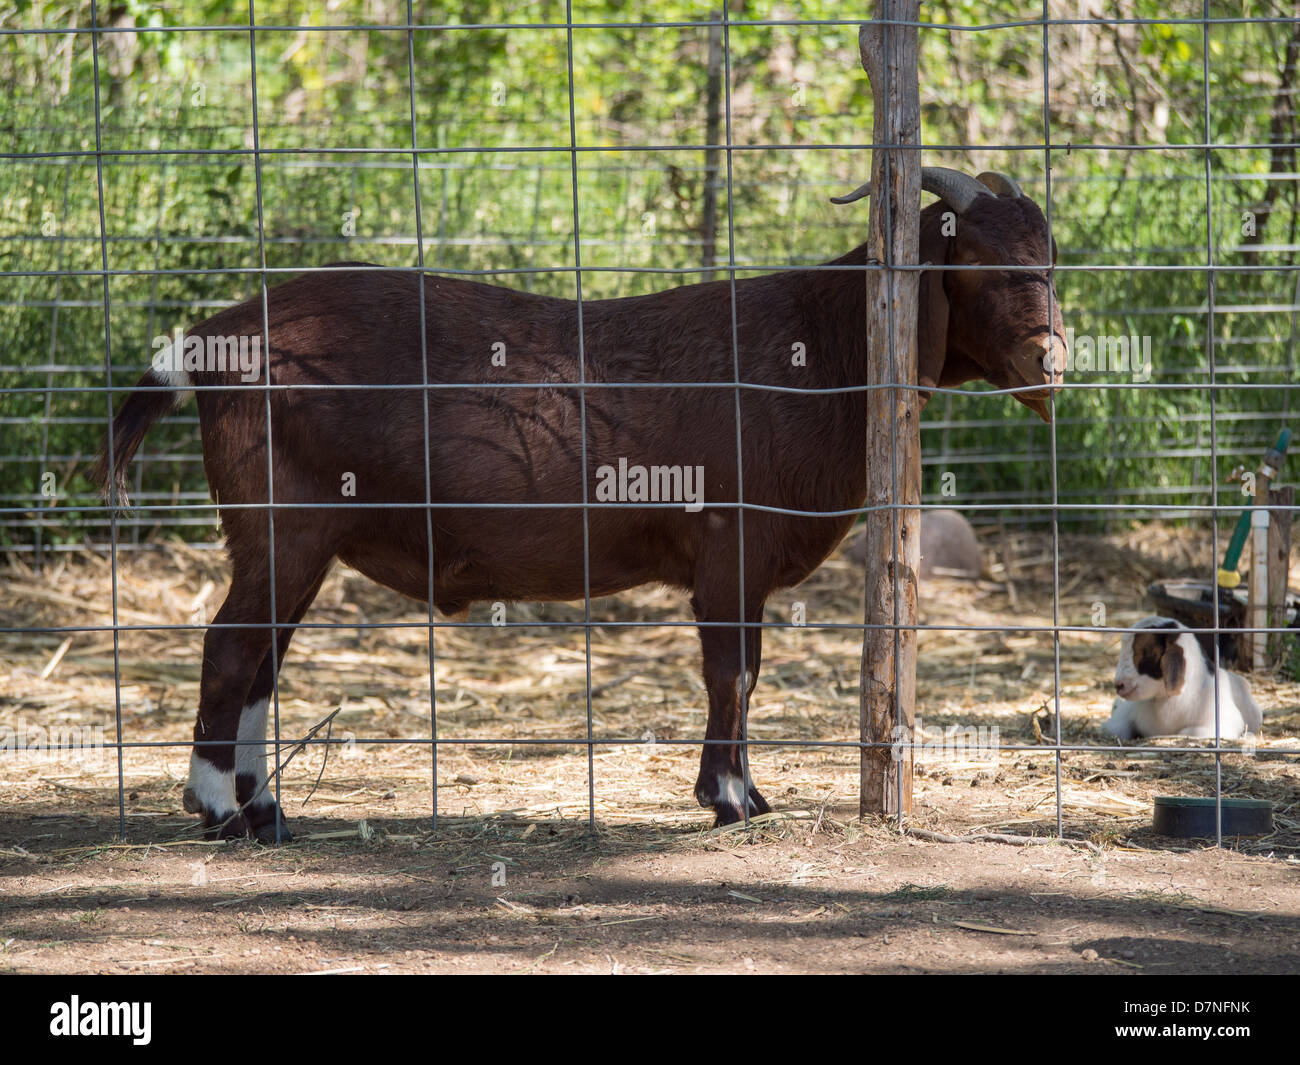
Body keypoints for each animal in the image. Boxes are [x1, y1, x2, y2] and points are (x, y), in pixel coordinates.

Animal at [93, 167, 1066, 840]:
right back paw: (219, 808)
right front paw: (730, 798)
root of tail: (212, 339)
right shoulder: (729, 547)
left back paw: (268, 812)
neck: (822, 347)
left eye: (1049, 261)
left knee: (263, 660)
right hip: (282, 525)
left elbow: (745, 669)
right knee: (231, 648)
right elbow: (733, 672)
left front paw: (747, 793)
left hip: (298, 541)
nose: (1051, 362)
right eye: (978, 263)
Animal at [1105, 617, 1262, 740]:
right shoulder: (1122, 717)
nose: (1119, 685)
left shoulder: (1222, 724)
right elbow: (1114, 729)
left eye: (1146, 653)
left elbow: (1187, 732)